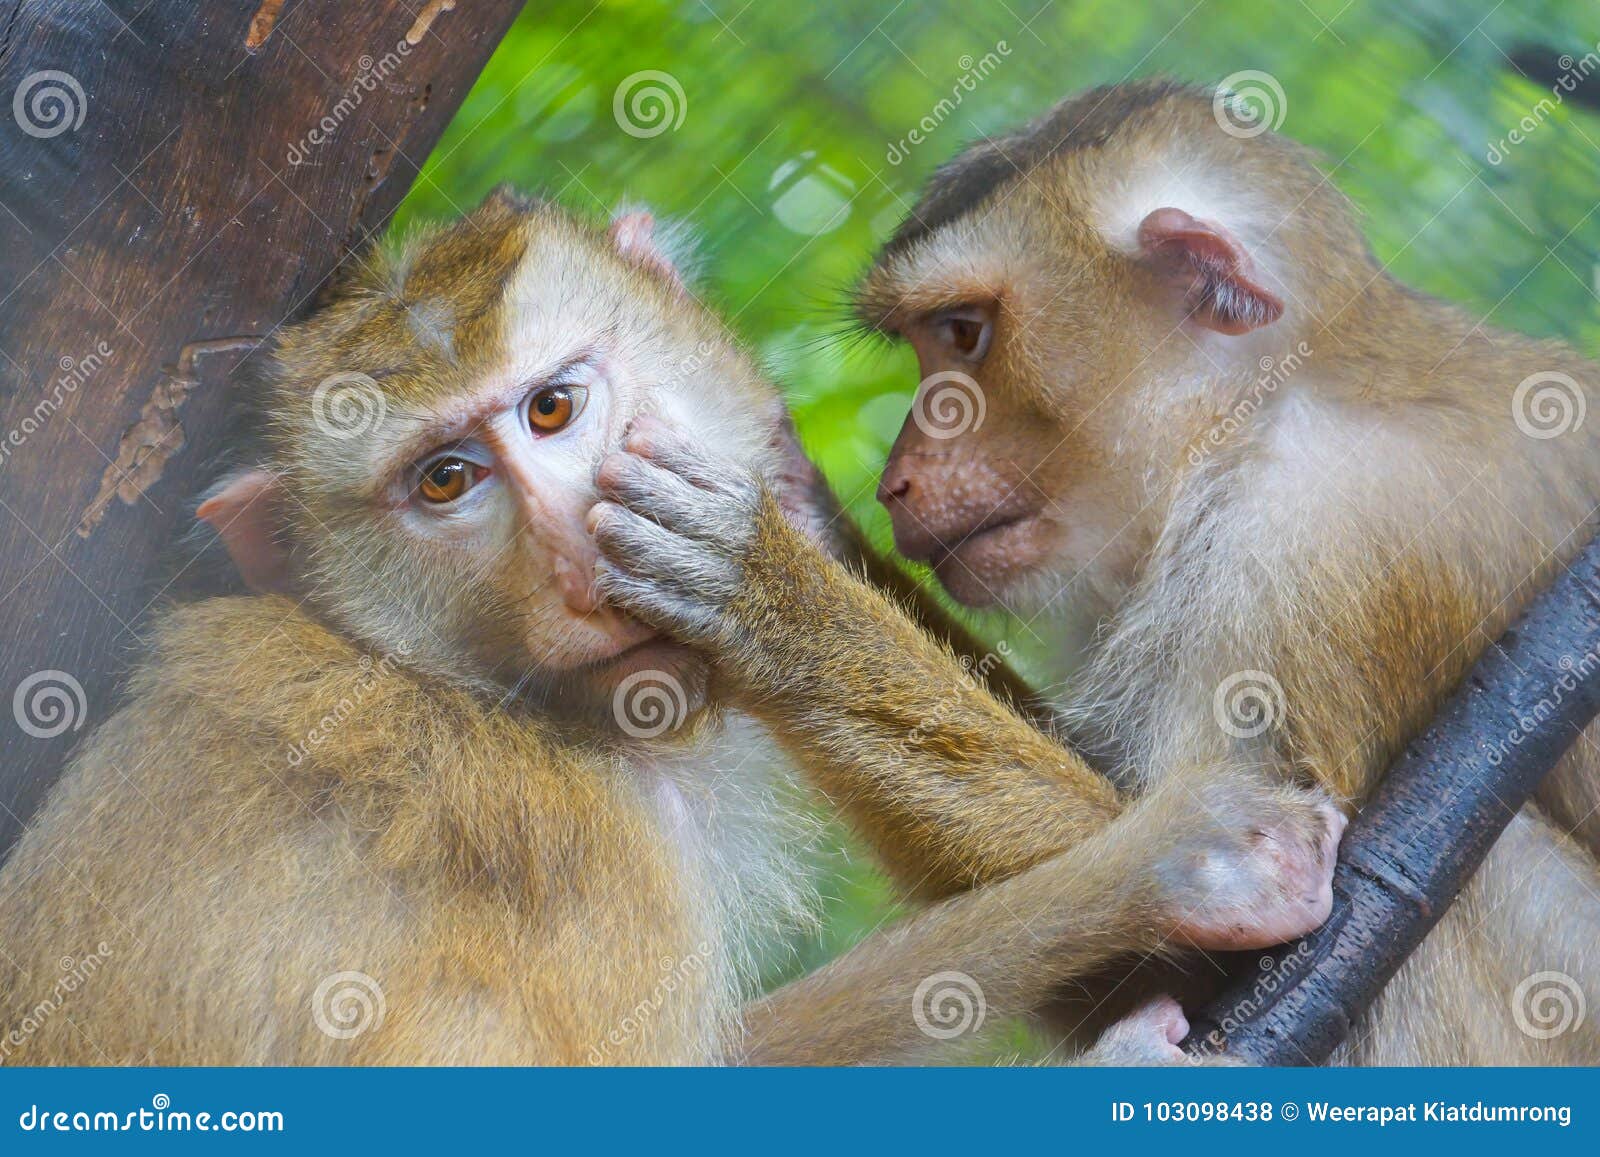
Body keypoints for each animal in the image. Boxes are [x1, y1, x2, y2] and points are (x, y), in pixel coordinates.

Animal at [0, 188, 1331, 1066]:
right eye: (444, 480)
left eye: (551, 407)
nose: (579, 554)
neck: (476, 692)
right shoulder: (596, 854)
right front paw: (1164, 869)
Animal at [587, 80, 1600, 1065]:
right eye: (931, 339)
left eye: (965, 332)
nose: (895, 479)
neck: (1255, 412)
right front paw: (806, 518)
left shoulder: (1316, 545)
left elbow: (1248, 934)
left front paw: (765, 587)